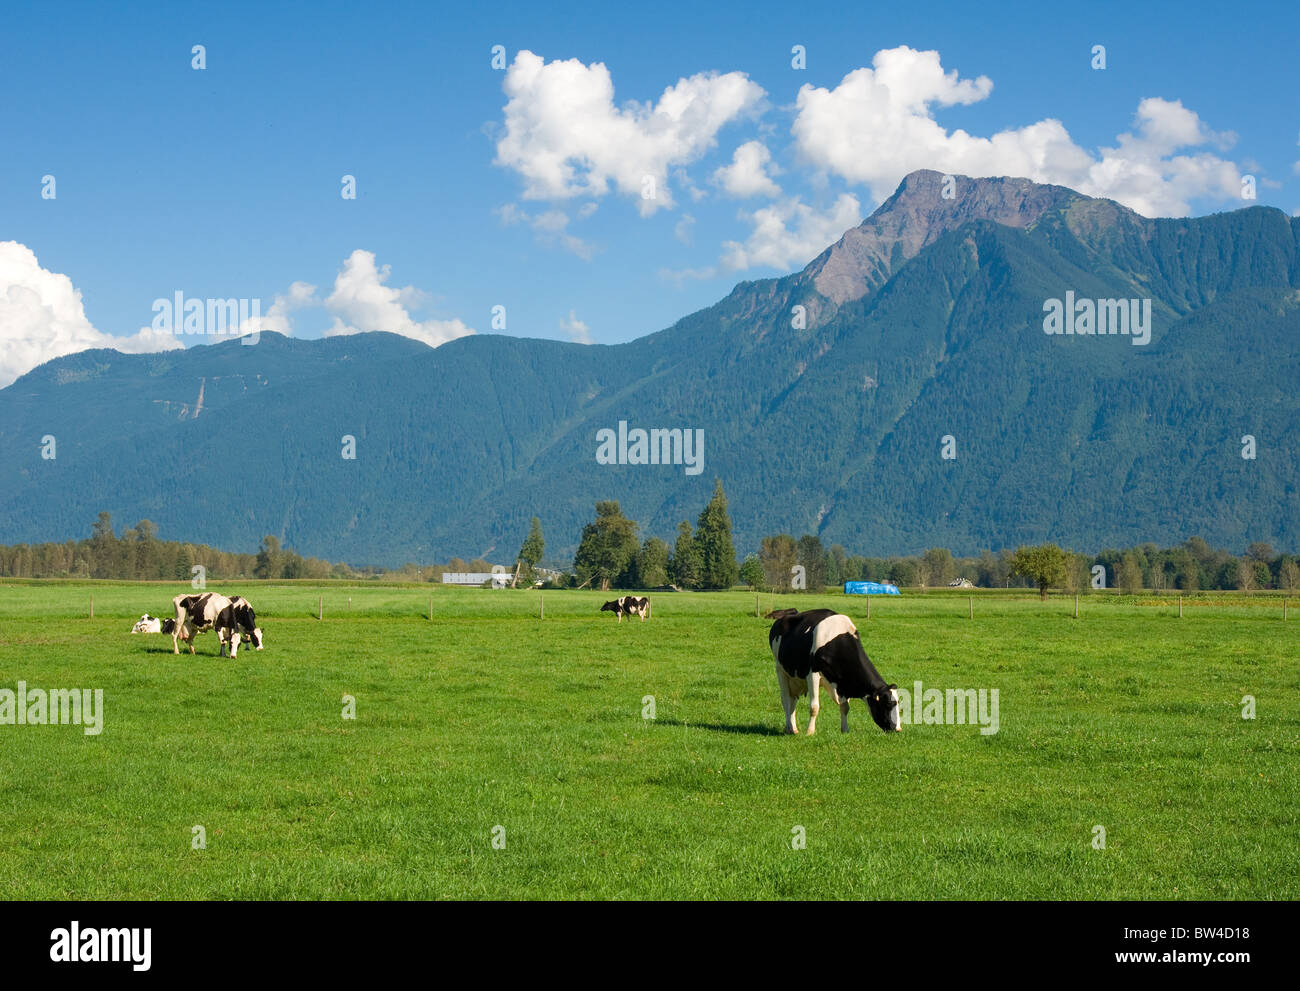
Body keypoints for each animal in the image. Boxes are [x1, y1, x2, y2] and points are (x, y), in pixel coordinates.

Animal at [768, 608, 900, 735]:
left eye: (898, 703)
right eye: (888, 704)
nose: (898, 729)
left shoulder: (842, 682)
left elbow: (845, 707)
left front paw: (845, 730)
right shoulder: (812, 674)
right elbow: (814, 707)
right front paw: (810, 732)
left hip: (796, 679)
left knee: (793, 700)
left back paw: (793, 729)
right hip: (781, 670)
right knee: (786, 700)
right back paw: (789, 727)